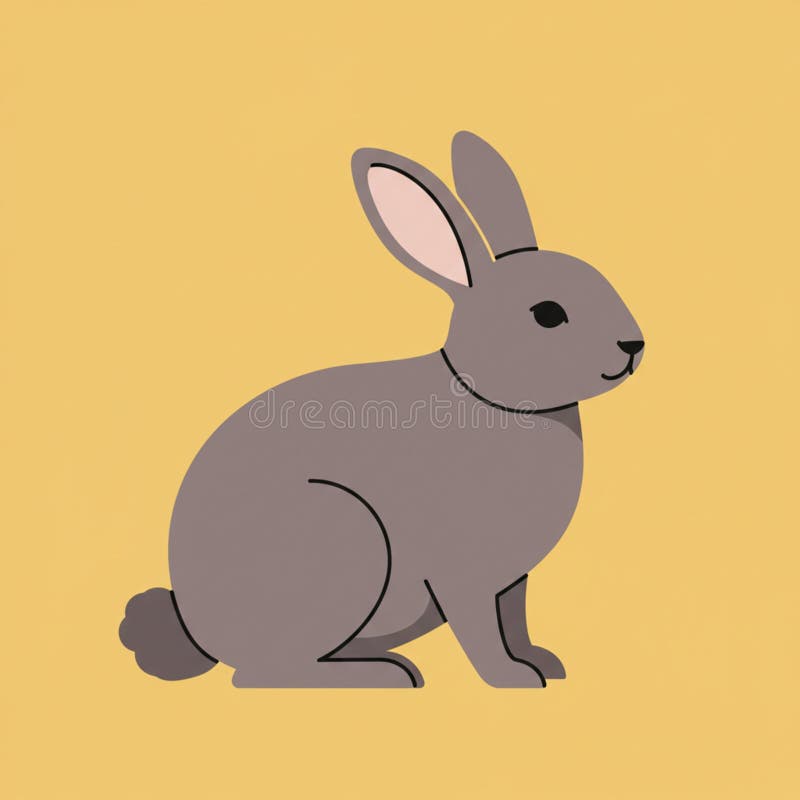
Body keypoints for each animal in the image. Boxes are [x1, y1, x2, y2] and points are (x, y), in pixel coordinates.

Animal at [119, 131, 644, 688]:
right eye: (547, 314)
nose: (634, 345)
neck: (495, 398)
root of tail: (196, 628)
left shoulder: (512, 582)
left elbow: (515, 620)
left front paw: (542, 663)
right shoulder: (463, 573)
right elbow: (482, 631)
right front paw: (512, 679)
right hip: (344, 537)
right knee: (263, 673)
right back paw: (389, 674)